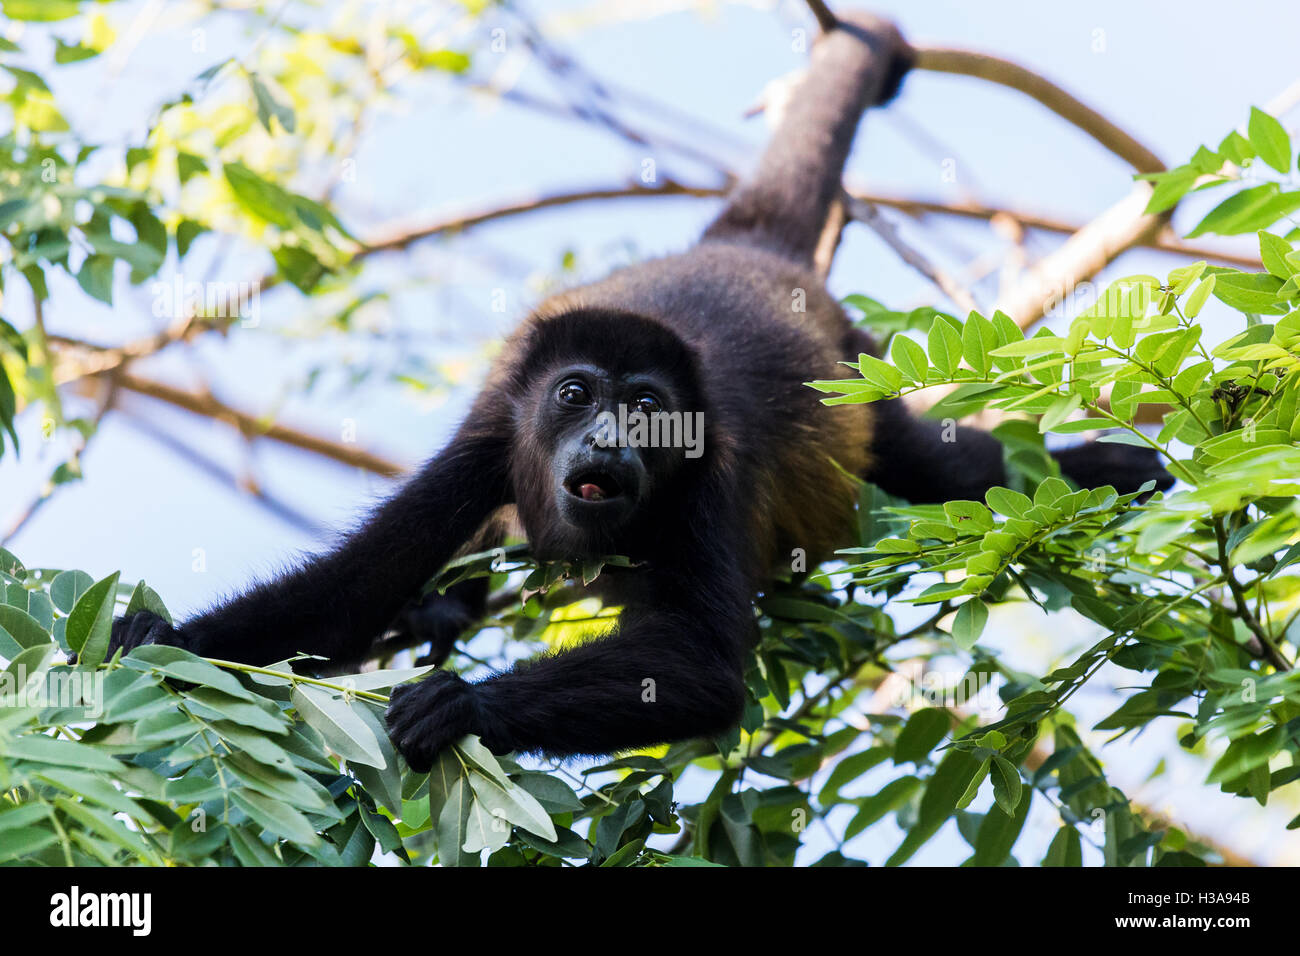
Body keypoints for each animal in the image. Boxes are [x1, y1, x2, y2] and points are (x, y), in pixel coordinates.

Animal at [105, 13, 1171, 772]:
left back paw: (1103, 470)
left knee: (938, 467)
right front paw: (157, 639)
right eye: (578, 395)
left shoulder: (712, 472)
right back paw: (448, 611)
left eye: (650, 409)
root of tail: (745, 249)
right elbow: (349, 591)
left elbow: (700, 669)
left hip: (863, 360)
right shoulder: (489, 440)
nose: (609, 441)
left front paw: (467, 707)